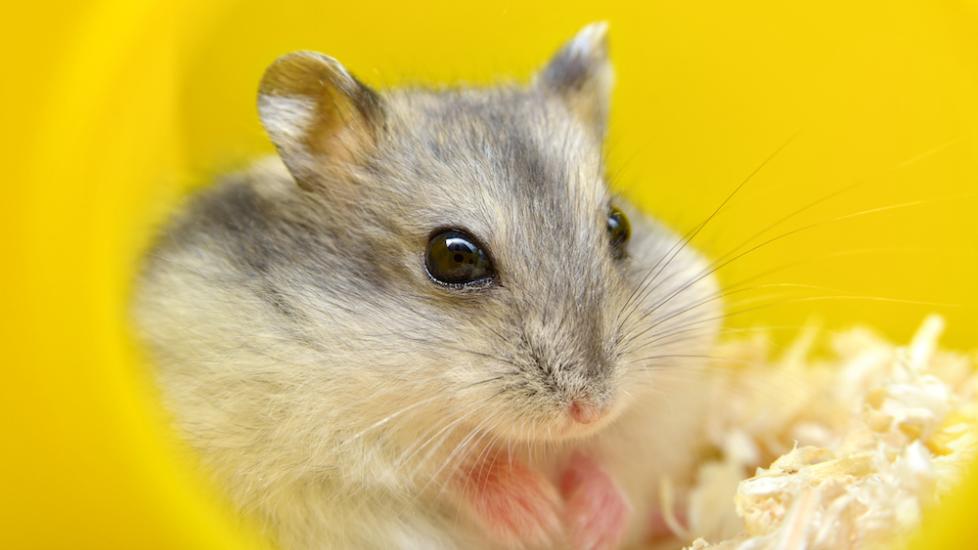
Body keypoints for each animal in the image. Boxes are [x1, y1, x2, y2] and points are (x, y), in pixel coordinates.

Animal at [134, 22, 721, 550]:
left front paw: (592, 525)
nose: (590, 410)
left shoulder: (663, 406)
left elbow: (617, 459)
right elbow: (453, 470)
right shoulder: (316, 429)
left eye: (619, 226)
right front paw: (538, 517)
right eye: (453, 256)